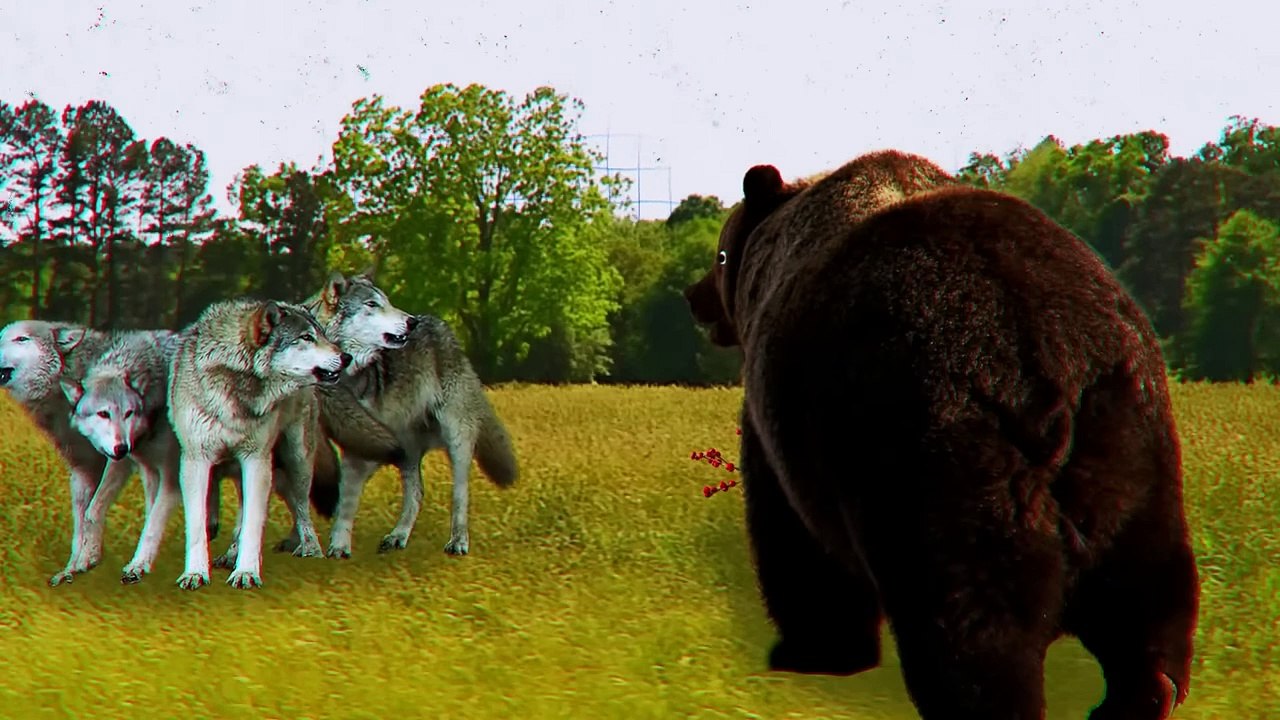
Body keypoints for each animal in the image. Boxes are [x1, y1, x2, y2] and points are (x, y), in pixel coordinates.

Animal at [168, 298, 352, 590]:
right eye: (306, 337)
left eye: (321, 335)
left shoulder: (256, 459)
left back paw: (310, 548)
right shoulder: (196, 460)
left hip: (298, 461)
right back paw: (230, 554)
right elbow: (198, 525)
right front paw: (195, 574)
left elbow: (254, 524)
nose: (347, 357)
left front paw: (246, 573)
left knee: (301, 508)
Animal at [303, 272, 518, 558]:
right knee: (416, 493)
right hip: (404, 450)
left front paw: (338, 548)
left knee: (460, 493)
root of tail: (443, 327)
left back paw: (458, 541)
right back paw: (398, 536)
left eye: (387, 302)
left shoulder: (359, 447)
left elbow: (346, 501)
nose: (411, 322)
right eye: (372, 304)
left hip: (455, 438)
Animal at [684, 150, 1200, 720]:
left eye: (720, 256)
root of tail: (1051, 358)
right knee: (1147, 588)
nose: (693, 296)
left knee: (971, 612)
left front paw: (807, 650)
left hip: (940, 447)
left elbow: (792, 537)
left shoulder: (788, 416)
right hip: (1133, 432)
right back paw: (1143, 691)